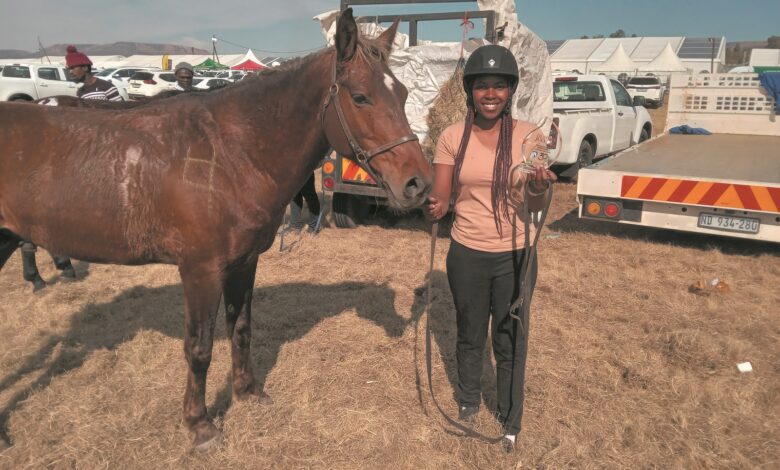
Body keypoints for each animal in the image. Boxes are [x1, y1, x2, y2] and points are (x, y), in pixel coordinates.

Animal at [0, 8, 432, 449]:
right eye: (360, 97)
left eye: (402, 94)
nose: (418, 183)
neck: (228, 153)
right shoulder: (201, 271)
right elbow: (199, 348)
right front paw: (200, 424)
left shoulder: (243, 263)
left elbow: (240, 328)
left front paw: (248, 391)